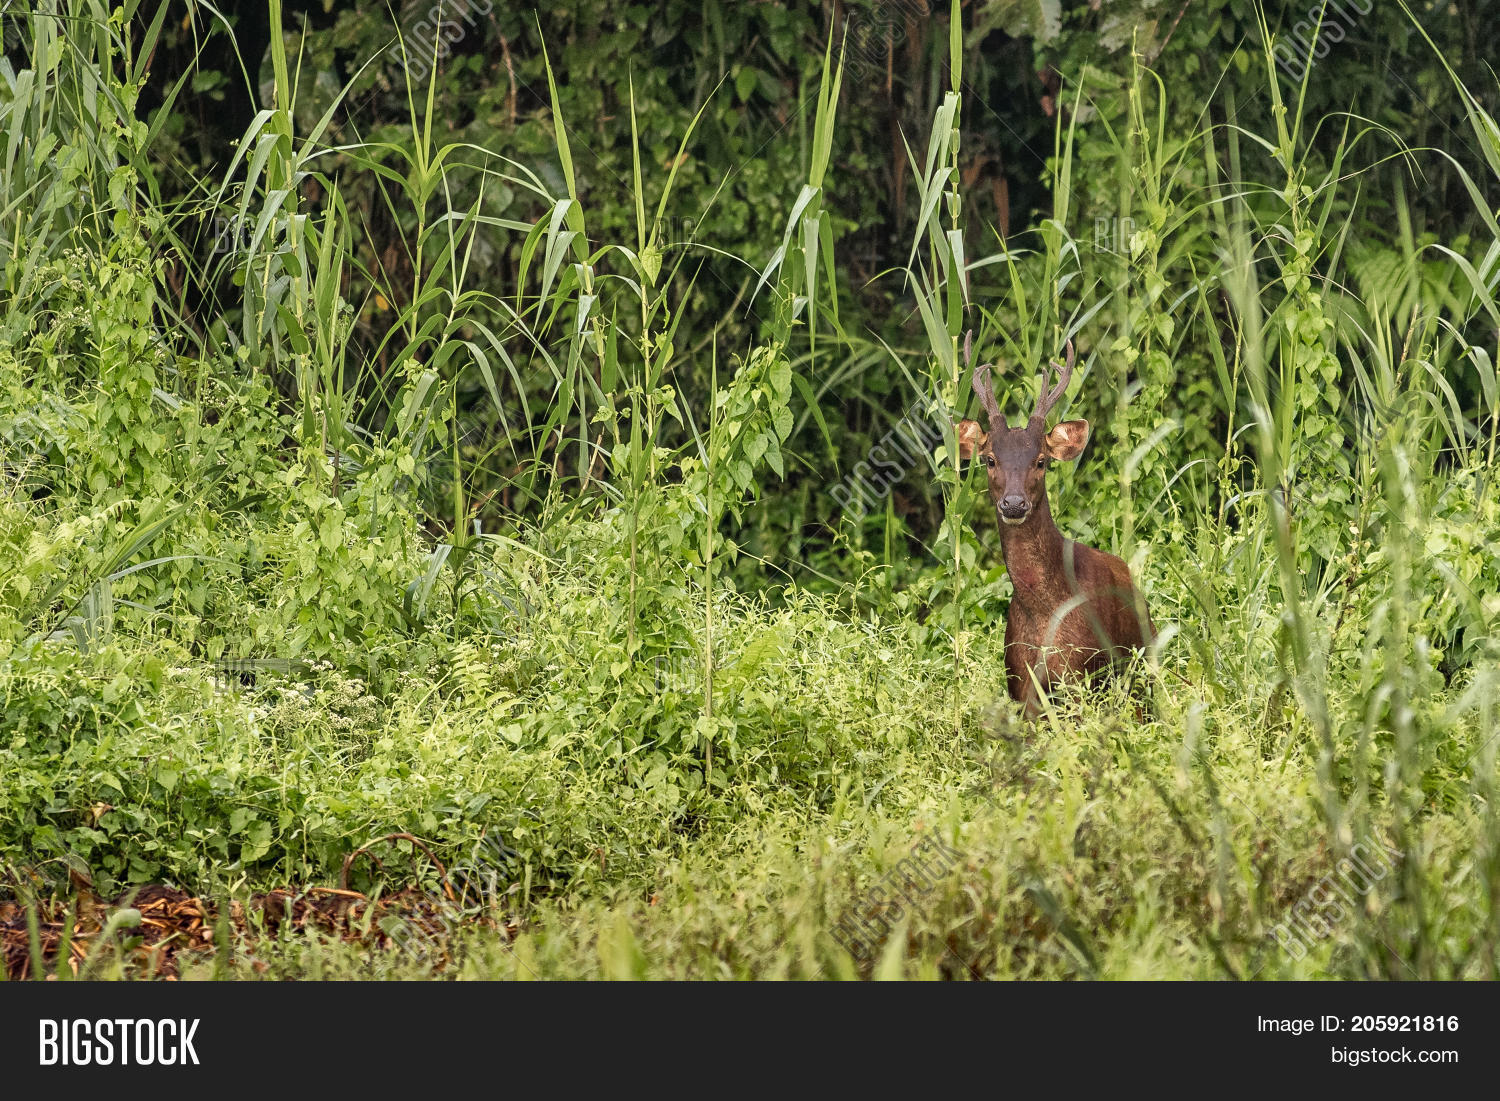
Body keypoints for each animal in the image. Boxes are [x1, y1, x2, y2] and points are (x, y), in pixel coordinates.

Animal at [956, 335, 1154, 717]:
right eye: (990, 459)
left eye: (1041, 461)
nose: (1014, 503)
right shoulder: (1020, 682)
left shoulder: (1080, 672)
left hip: (1141, 666)